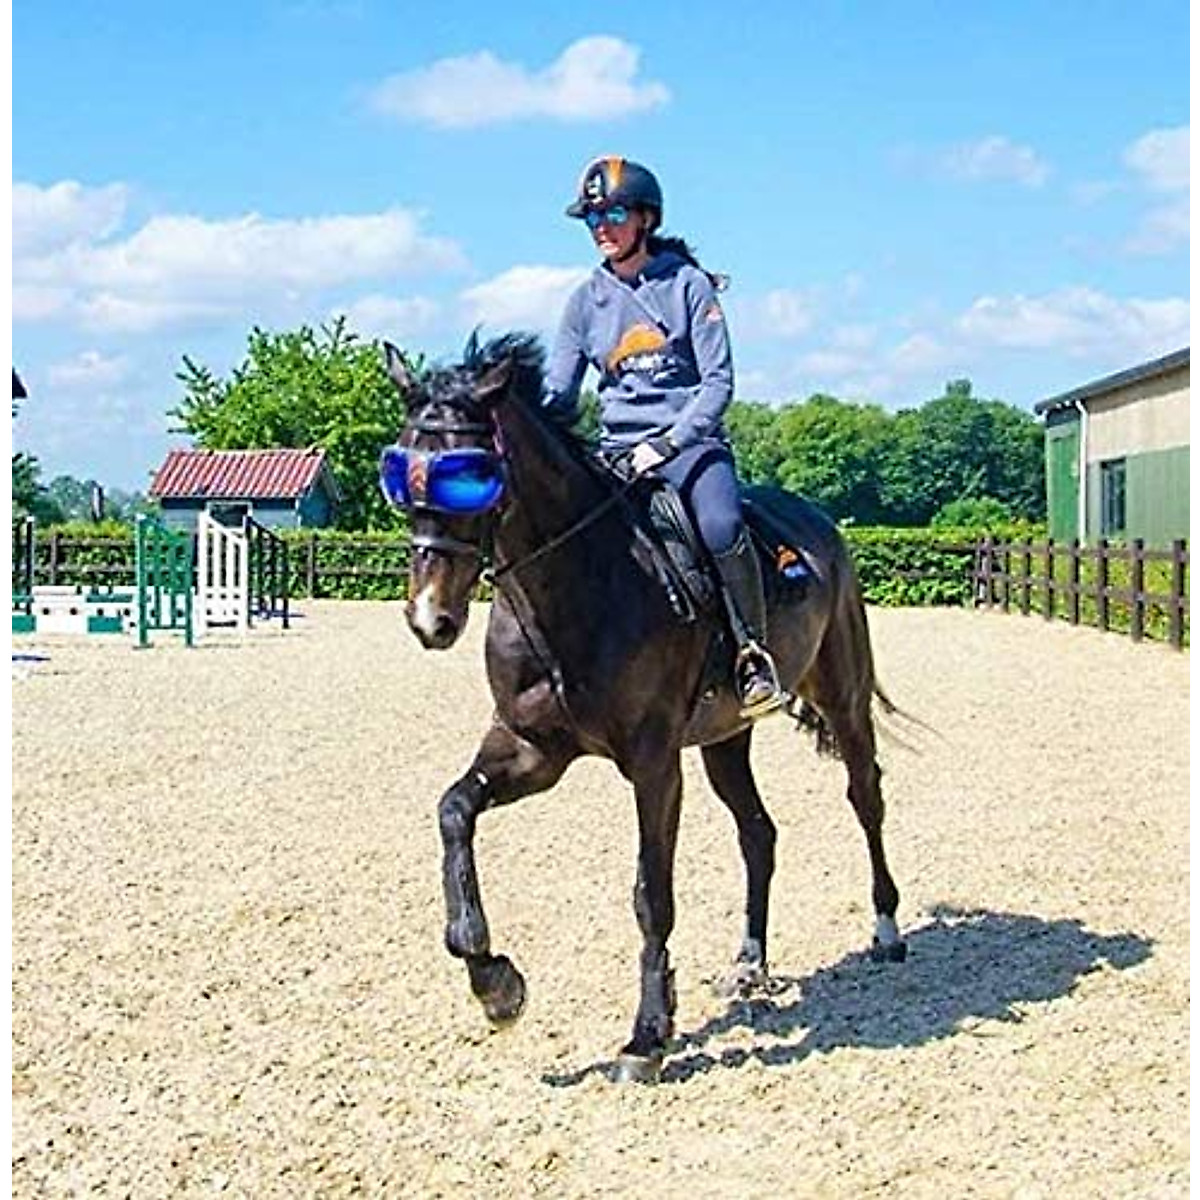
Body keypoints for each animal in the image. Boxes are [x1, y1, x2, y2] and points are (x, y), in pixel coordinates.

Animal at [379, 331, 906, 1083]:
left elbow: (650, 896)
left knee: (866, 799)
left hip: (843, 699)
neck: (579, 584)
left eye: (472, 473)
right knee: (759, 833)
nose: (430, 619)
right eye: (403, 472)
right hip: (724, 739)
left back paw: (887, 930)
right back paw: (749, 964)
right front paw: (494, 982)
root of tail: (819, 523)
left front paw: (647, 1037)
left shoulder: (654, 765)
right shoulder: (532, 750)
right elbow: (454, 811)